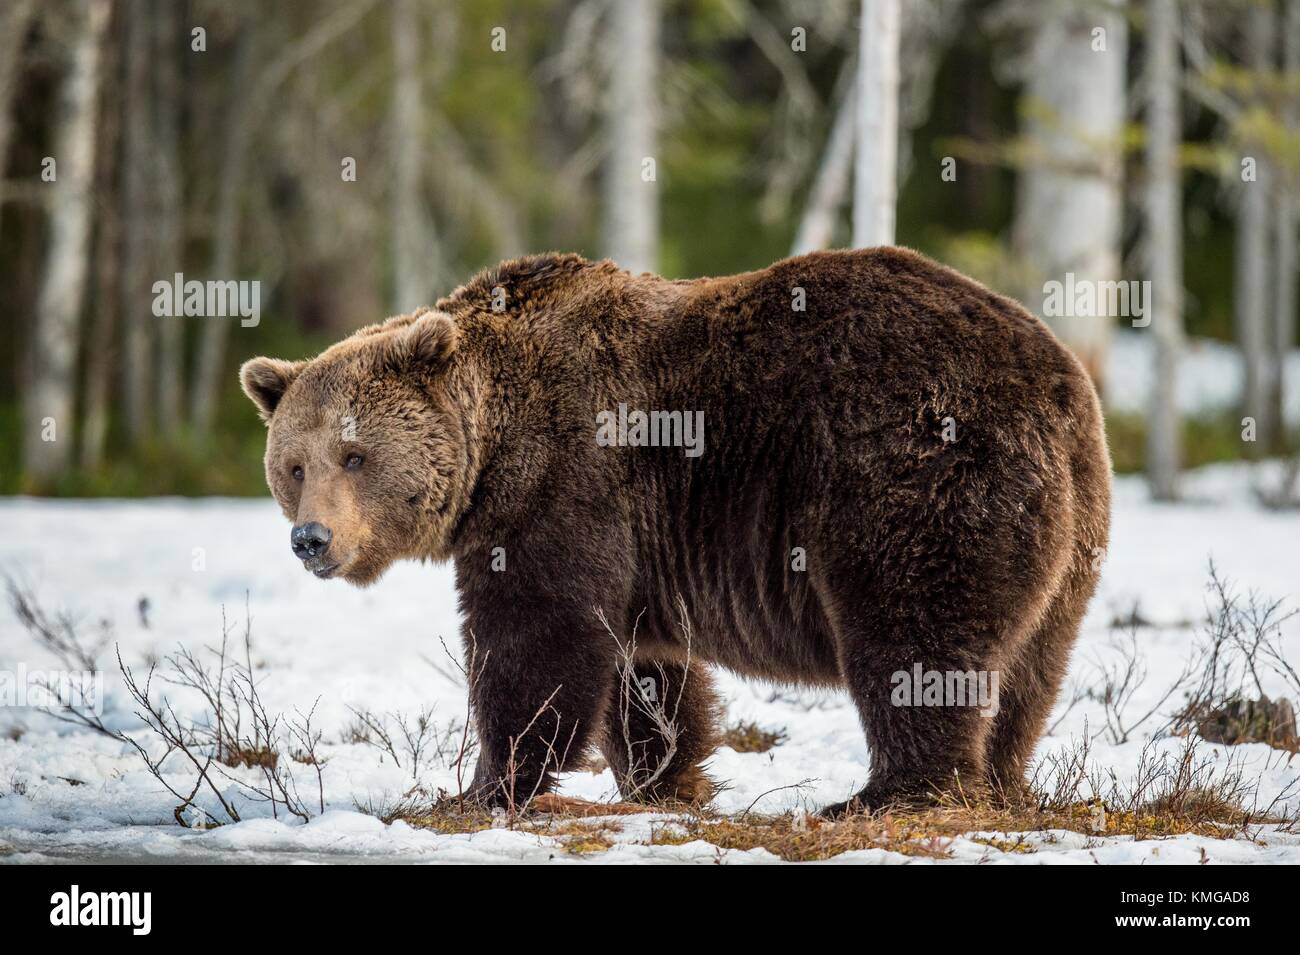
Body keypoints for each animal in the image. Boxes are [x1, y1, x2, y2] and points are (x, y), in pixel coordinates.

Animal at [240, 247, 1111, 815]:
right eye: (294, 464)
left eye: (354, 455)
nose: (311, 538)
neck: (494, 445)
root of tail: (1058, 379)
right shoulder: (642, 540)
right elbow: (647, 670)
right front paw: (668, 777)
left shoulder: (567, 485)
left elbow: (535, 641)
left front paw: (484, 785)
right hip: (1070, 538)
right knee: (1032, 664)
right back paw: (1001, 778)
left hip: (912, 474)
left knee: (912, 633)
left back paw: (889, 793)